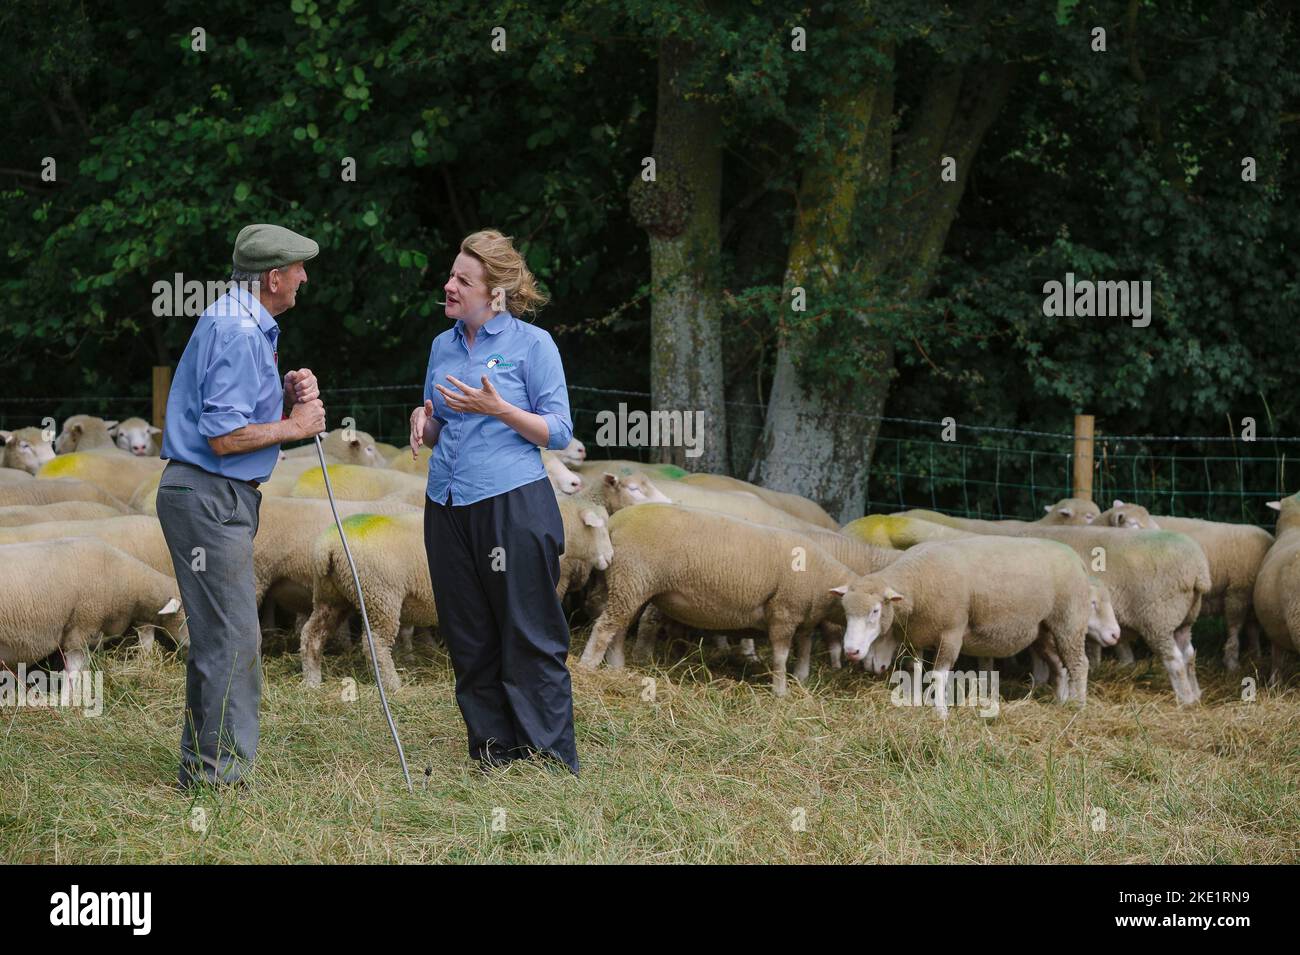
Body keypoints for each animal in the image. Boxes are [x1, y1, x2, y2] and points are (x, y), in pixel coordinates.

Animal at [576, 503, 857, 696]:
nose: (854, 651)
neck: (822, 576)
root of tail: (615, 522)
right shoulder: (784, 611)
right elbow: (780, 656)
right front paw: (781, 691)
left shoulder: (805, 618)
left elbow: (805, 647)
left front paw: (801, 678)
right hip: (633, 578)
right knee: (606, 626)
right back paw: (587, 666)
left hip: (628, 583)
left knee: (618, 625)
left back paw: (616, 667)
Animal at [835, 536, 1096, 716]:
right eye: (846, 611)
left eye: (875, 611)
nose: (851, 651)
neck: (917, 582)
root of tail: (1078, 560)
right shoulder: (917, 635)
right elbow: (915, 669)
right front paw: (916, 701)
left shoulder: (951, 632)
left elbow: (939, 675)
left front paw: (940, 713)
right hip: (1042, 629)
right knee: (1059, 665)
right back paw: (1060, 701)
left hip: (1069, 621)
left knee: (1079, 664)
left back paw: (1078, 707)